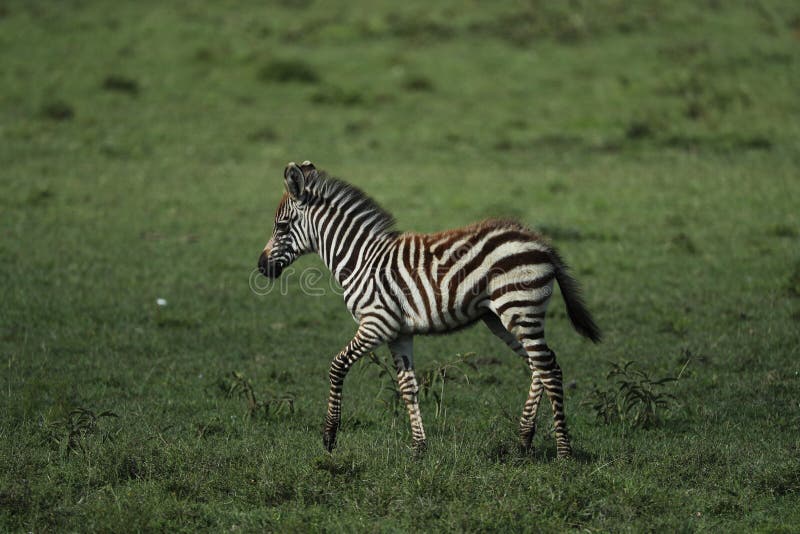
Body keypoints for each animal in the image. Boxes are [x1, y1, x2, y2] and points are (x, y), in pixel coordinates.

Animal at [258, 161, 601, 458]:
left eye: (282, 226)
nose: (261, 267)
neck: (361, 259)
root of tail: (540, 242)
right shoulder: (398, 332)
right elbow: (408, 387)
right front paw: (419, 448)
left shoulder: (376, 323)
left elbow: (337, 365)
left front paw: (329, 436)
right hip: (502, 318)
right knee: (538, 366)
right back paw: (524, 439)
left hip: (520, 308)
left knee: (550, 368)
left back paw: (564, 451)